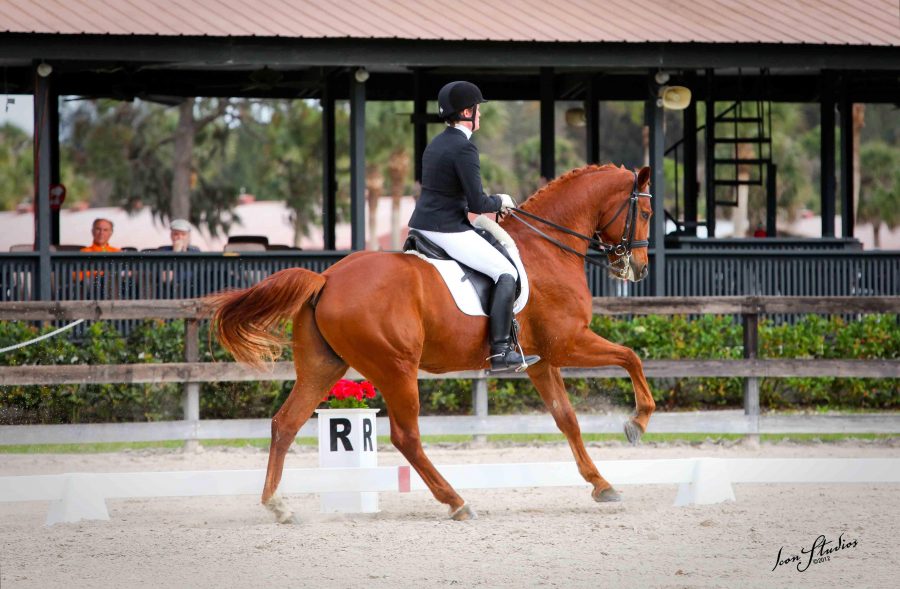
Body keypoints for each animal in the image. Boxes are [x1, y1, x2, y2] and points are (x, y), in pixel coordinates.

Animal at [207, 163, 656, 522]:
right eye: (648, 213)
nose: (638, 269)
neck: (546, 247)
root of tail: (327, 278)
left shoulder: (543, 360)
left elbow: (567, 419)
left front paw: (602, 485)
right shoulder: (568, 342)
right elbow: (630, 356)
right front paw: (636, 424)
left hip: (324, 367)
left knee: (285, 424)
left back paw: (278, 505)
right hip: (396, 368)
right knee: (406, 437)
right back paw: (456, 502)